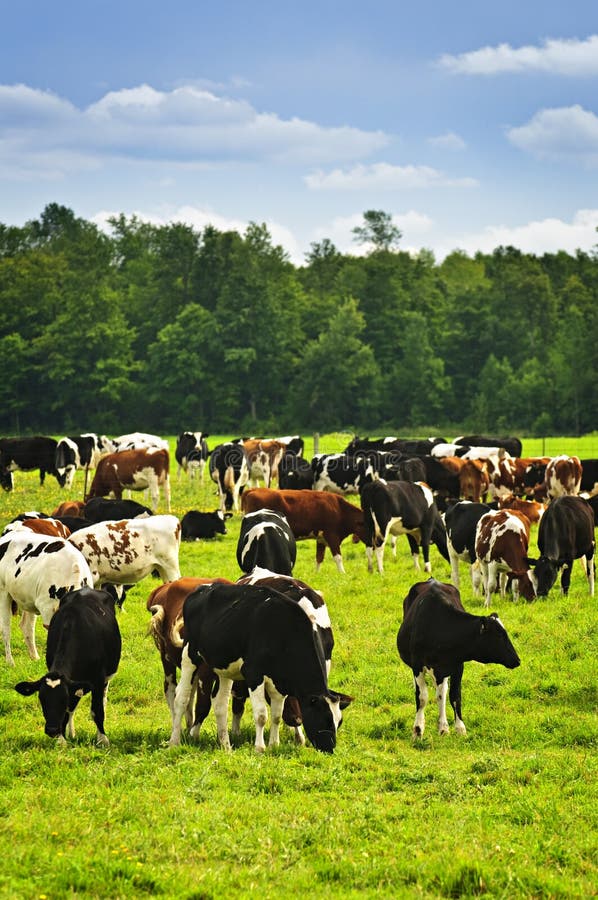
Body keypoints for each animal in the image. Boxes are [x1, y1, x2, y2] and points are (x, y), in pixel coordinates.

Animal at [0, 532, 93, 665]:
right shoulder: (46, 607)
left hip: (29, 597)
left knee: (27, 626)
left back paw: (34, 657)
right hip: (3, 592)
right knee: (5, 627)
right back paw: (10, 662)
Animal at [14, 587, 121, 747]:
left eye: (62, 700)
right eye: (42, 699)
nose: (52, 730)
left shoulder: (97, 679)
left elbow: (97, 710)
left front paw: (102, 739)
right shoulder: (72, 683)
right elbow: (69, 710)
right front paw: (62, 740)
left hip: (106, 678)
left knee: (102, 700)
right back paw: (71, 733)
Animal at [168, 581, 351, 753]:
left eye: (339, 722)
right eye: (324, 719)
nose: (330, 748)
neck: (283, 629)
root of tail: (202, 588)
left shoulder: (279, 683)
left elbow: (277, 715)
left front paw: (274, 745)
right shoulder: (253, 674)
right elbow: (262, 715)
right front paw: (260, 748)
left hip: (224, 667)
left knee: (220, 703)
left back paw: (226, 747)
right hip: (189, 655)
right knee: (181, 698)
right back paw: (174, 742)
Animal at [396, 579, 520, 738]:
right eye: (499, 635)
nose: (517, 660)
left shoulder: (457, 666)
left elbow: (455, 697)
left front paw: (459, 728)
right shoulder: (417, 665)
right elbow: (422, 697)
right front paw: (418, 729)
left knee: (441, 694)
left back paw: (443, 727)